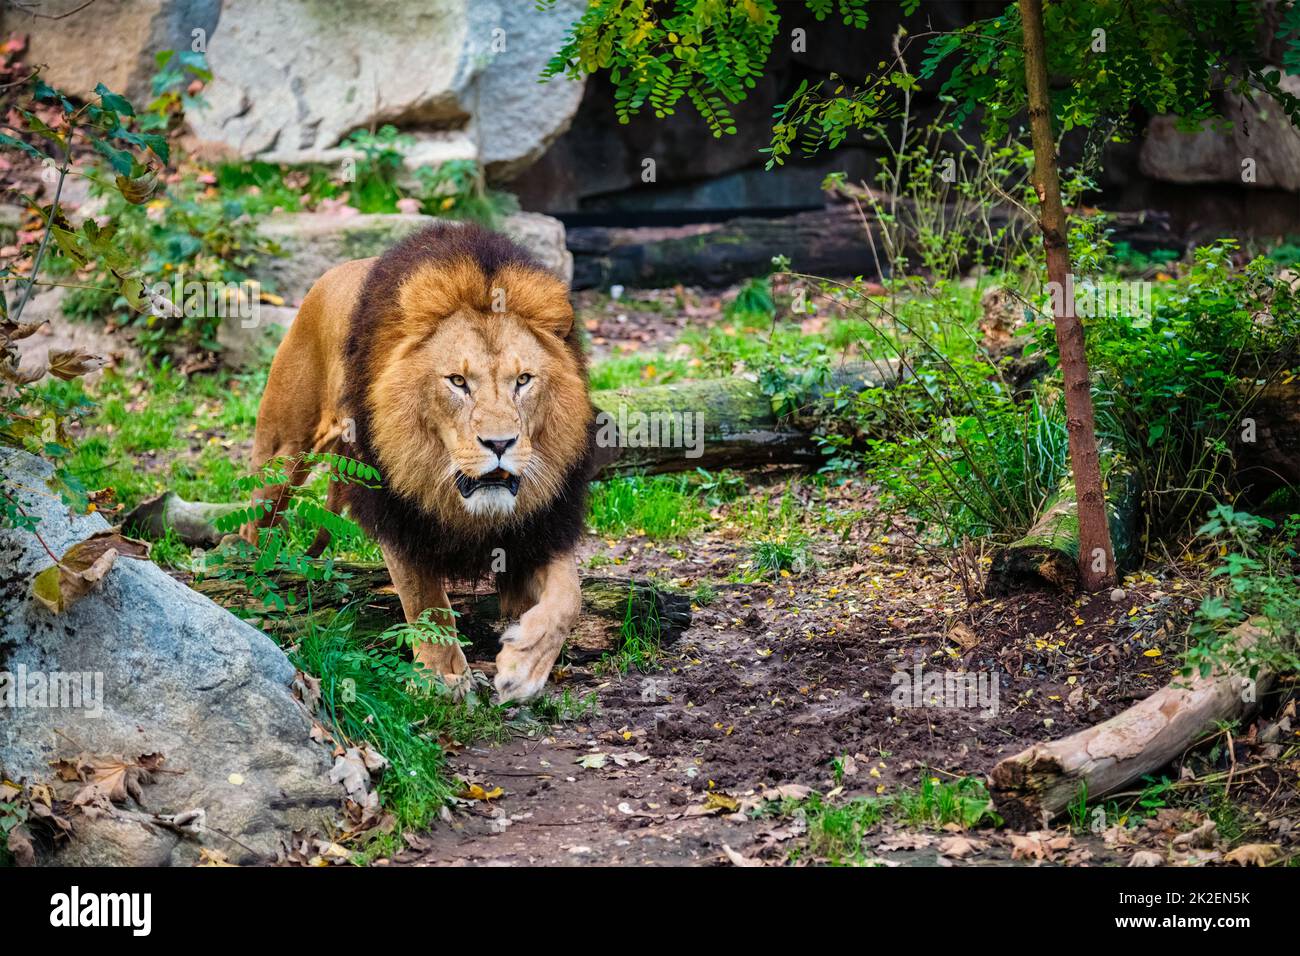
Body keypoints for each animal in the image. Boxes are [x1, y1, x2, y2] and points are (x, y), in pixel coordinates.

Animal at [242, 223, 595, 703]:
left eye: (523, 380)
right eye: (458, 382)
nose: (500, 443)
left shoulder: (539, 525)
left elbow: (568, 597)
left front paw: (524, 666)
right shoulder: (397, 512)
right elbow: (426, 600)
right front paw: (444, 679)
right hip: (283, 453)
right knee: (254, 520)